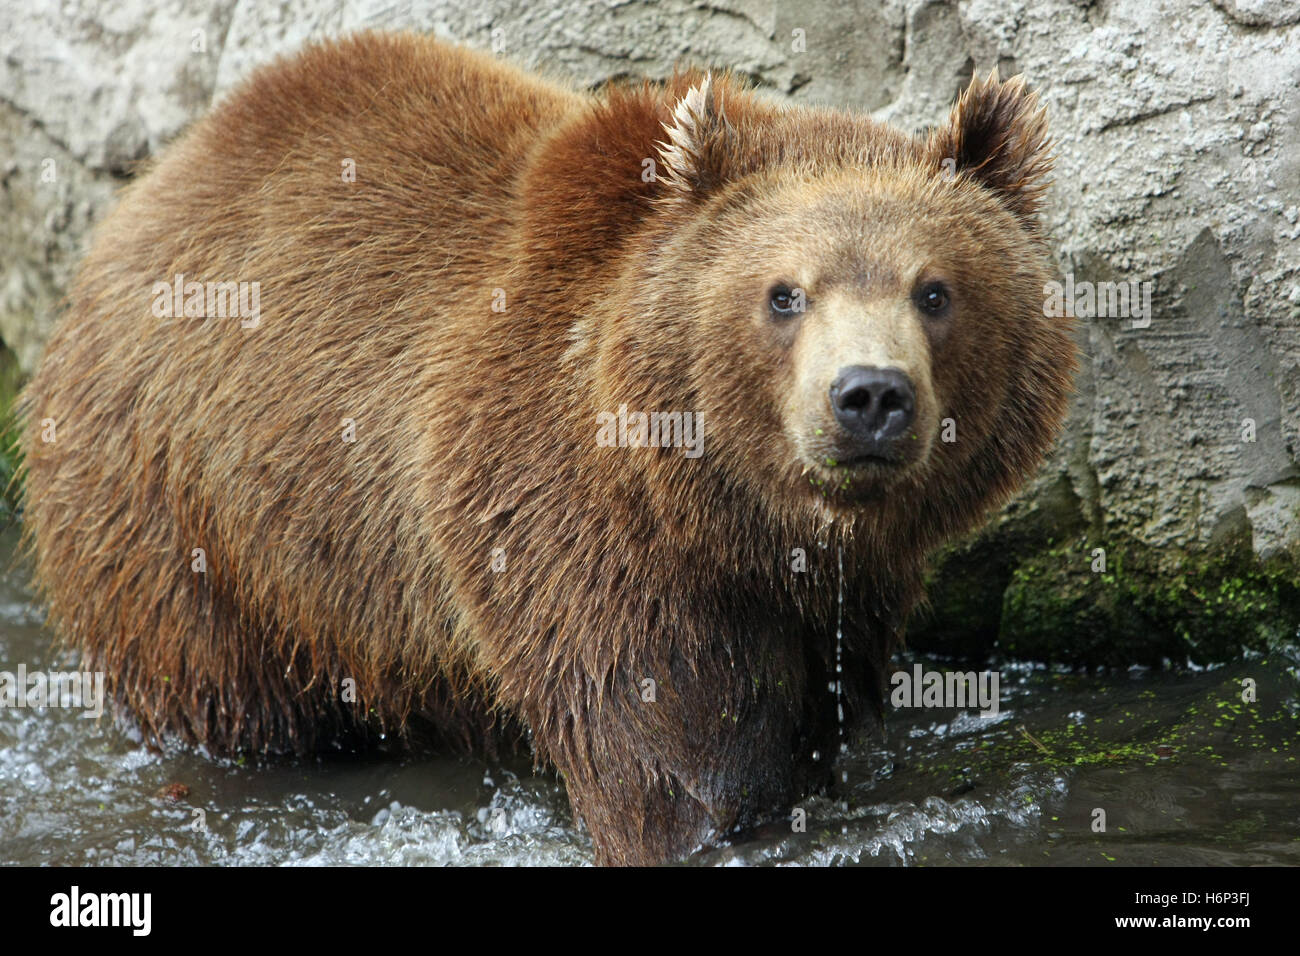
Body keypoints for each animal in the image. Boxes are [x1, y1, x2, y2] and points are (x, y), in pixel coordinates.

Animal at [19, 30, 1074, 865]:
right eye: (785, 293)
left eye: (934, 290)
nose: (869, 396)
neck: (717, 508)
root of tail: (159, 181)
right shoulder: (565, 519)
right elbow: (661, 744)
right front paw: (704, 818)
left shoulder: (835, 593)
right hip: (183, 504)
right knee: (219, 688)